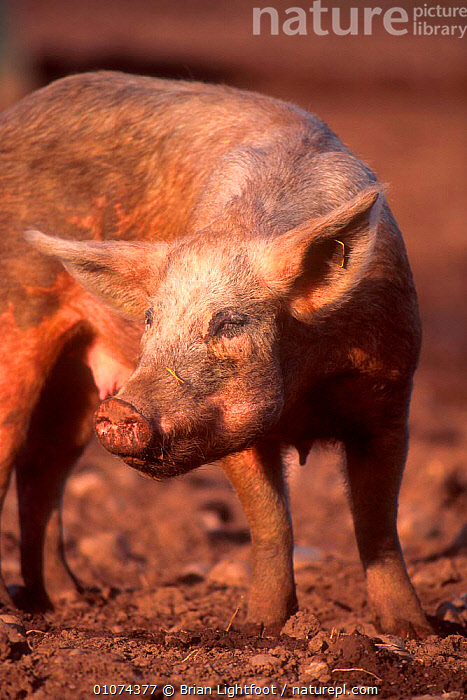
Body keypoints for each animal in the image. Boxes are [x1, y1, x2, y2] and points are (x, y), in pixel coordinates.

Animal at [0, 71, 431, 637]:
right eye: (150, 318)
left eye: (228, 322)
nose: (122, 409)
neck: (305, 386)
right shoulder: (230, 427)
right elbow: (270, 522)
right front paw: (260, 630)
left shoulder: (390, 395)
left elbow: (378, 523)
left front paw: (412, 631)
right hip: (16, 325)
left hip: (76, 384)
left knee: (42, 466)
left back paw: (71, 601)